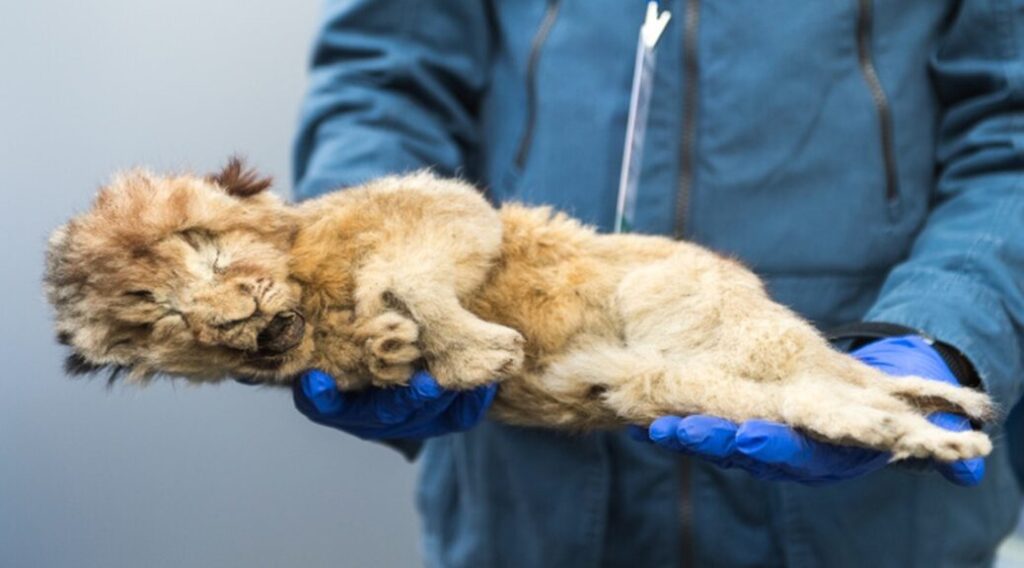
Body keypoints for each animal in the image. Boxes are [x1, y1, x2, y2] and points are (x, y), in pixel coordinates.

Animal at [45, 158, 995, 462]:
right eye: (156, 315)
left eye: (202, 241)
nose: (231, 317)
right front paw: (392, 349)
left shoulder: (452, 210)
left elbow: (412, 267)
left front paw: (459, 349)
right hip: (683, 380)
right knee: (825, 397)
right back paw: (932, 431)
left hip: (718, 328)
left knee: (831, 379)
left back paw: (948, 412)